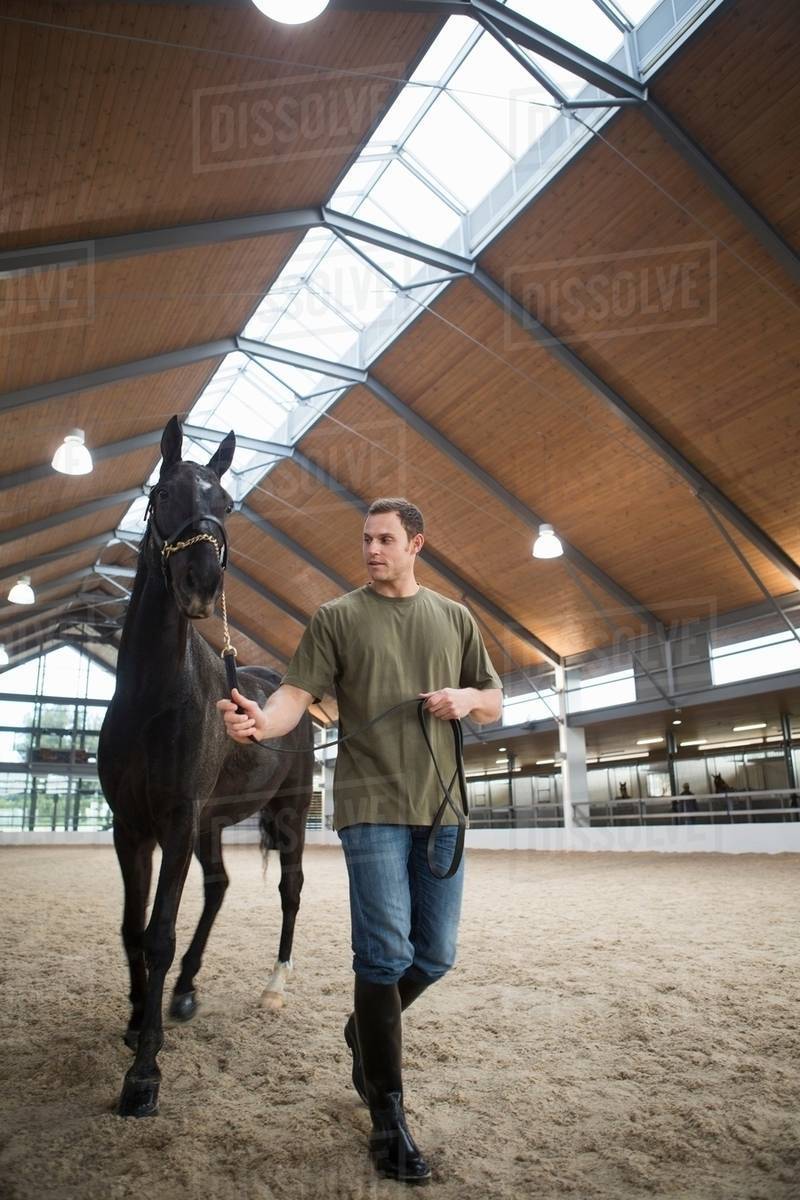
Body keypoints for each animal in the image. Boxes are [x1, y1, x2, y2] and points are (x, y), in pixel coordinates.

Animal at [98, 416, 314, 1118]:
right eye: (164, 494)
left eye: (227, 504)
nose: (201, 583)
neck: (154, 693)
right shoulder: (133, 828)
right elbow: (132, 928)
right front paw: (138, 1018)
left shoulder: (174, 821)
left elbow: (159, 933)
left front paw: (143, 1074)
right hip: (211, 824)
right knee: (217, 886)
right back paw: (187, 988)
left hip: (288, 815)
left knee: (289, 891)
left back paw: (275, 986)